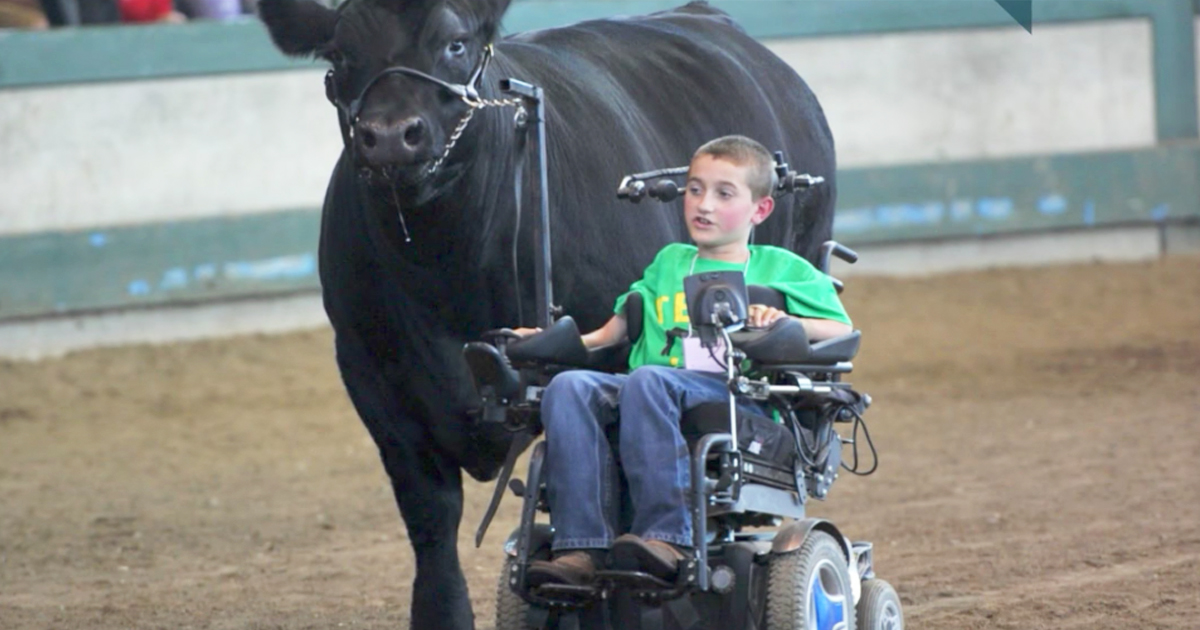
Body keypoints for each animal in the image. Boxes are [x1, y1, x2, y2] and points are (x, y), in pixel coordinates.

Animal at [258, 0, 836, 627]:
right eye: (340, 54)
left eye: (455, 43)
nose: (390, 136)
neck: (446, 265)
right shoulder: (372, 377)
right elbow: (433, 516)